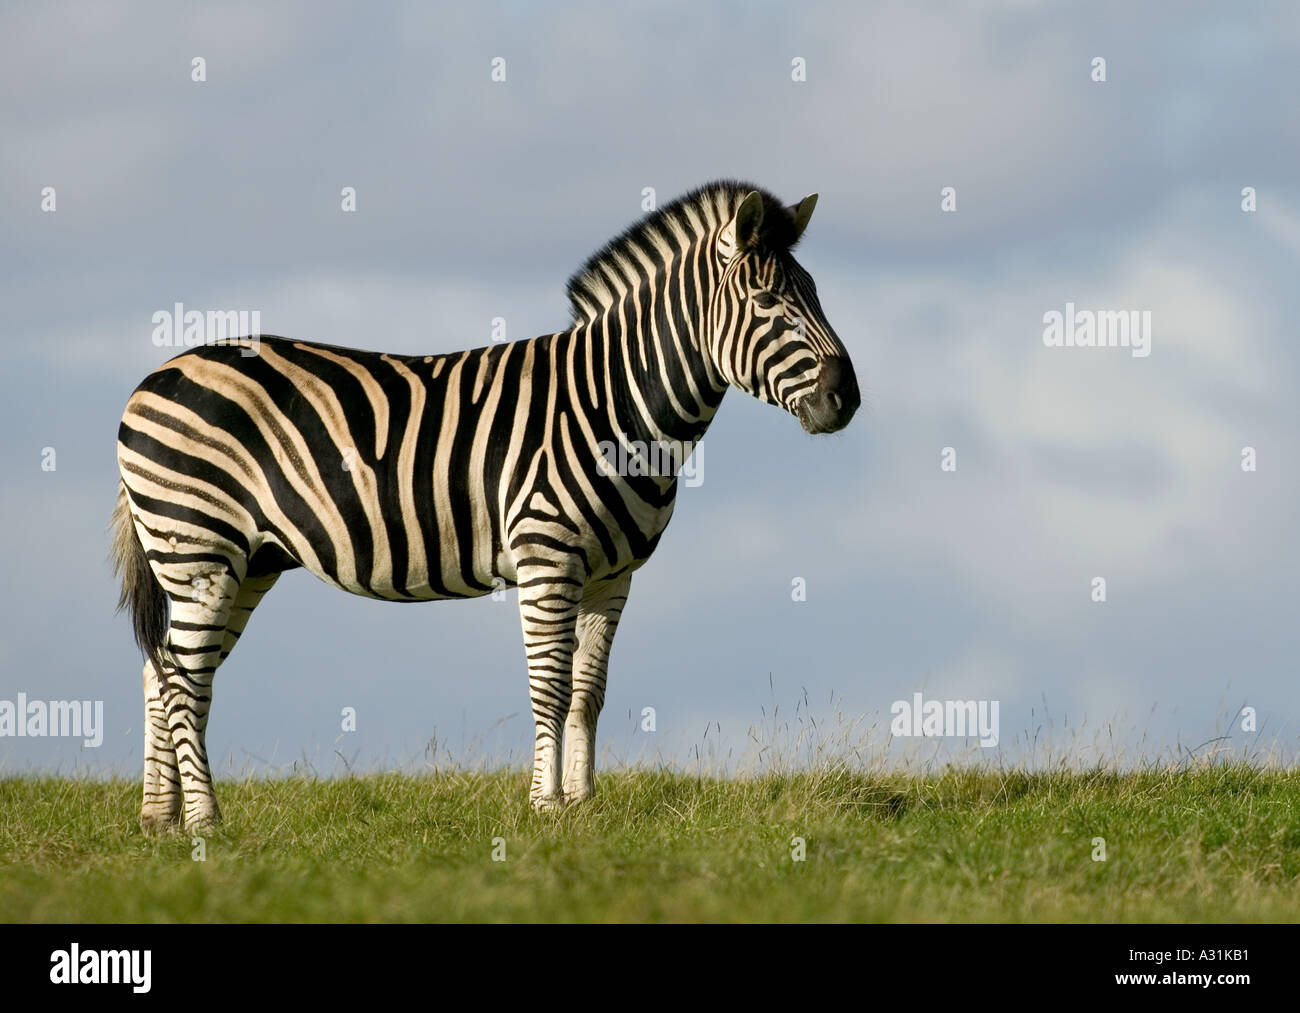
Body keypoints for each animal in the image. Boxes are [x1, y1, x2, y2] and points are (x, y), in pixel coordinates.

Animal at [112, 180, 860, 830]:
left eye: (817, 295)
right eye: (768, 300)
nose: (847, 398)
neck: (615, 404)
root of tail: (154, 377)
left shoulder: (614, 575)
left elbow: (588, 690)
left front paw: (584, 806)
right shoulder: (547, 555)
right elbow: (550, 686)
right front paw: (546, 807)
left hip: (245, 561)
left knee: (162, 671)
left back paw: (159, 819)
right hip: (201, 548)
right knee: (183, 680)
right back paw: (205, 821)